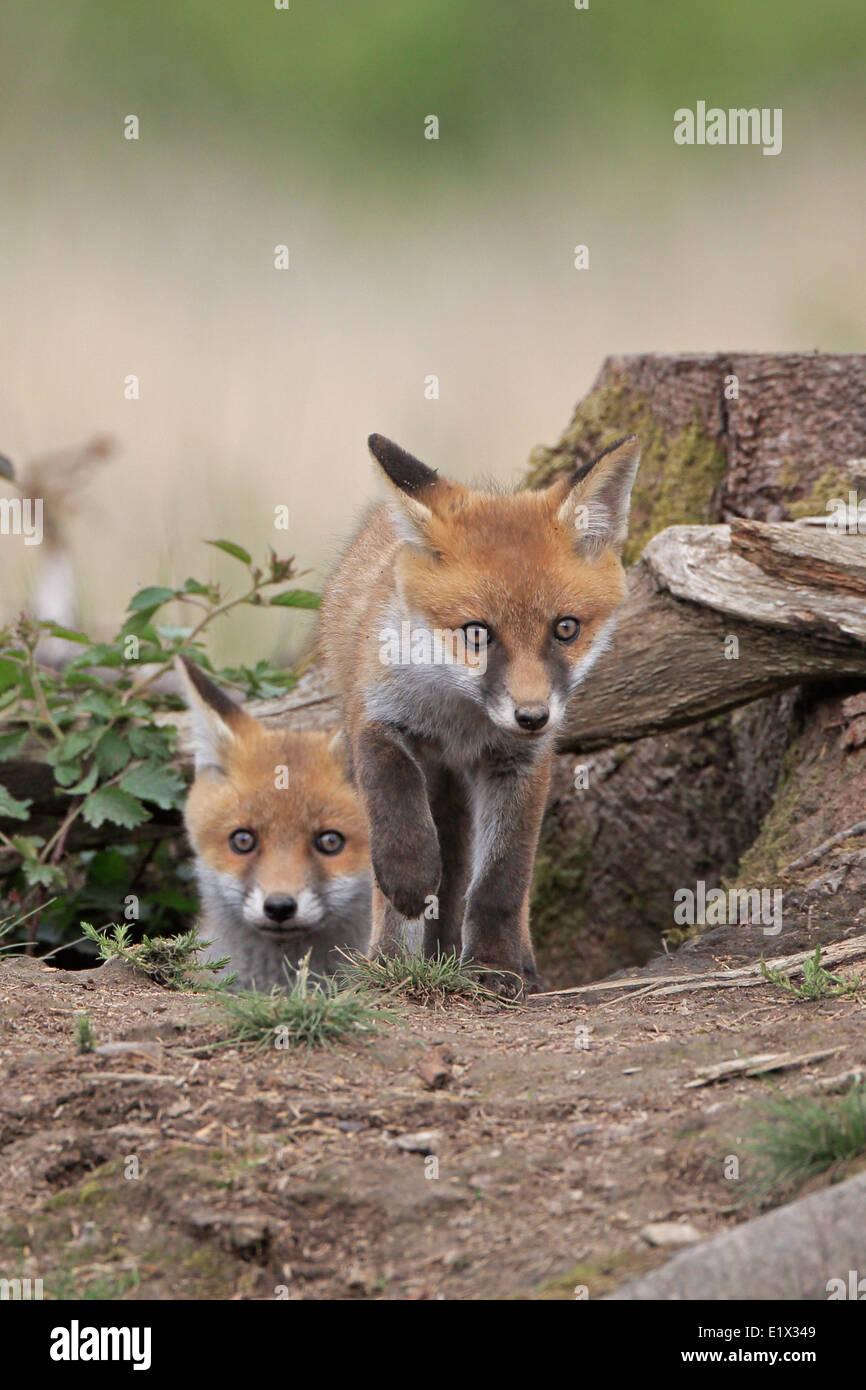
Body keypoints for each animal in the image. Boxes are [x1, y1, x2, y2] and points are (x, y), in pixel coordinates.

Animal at [320, 431, 640, 993]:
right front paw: (409, 877)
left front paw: (494, 967)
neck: (462, 719)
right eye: (477, 633)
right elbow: (396, 801)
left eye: (566, 628)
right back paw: (389, 962)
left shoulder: (521, 761)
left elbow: (501, 881)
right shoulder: (375, 714)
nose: (532, 716)